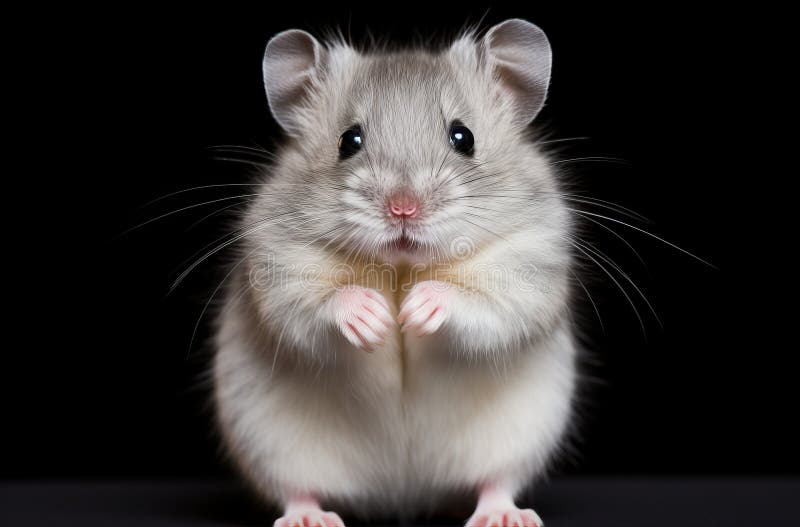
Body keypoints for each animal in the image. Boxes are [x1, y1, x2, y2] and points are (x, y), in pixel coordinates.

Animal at [213, 19, 577, 527]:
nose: (403, 209)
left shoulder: (529, 264)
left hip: (522, 435)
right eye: (349, 140)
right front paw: (376, 317)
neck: (400, 268)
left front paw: (417, 308)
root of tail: (402, 497)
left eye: (463, 137)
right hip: (267, 442)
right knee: (296, 488)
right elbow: (312, 306)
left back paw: (505, 516)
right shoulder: (277, 269)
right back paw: (309, 518)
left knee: (497, 482)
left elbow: (486, 305)